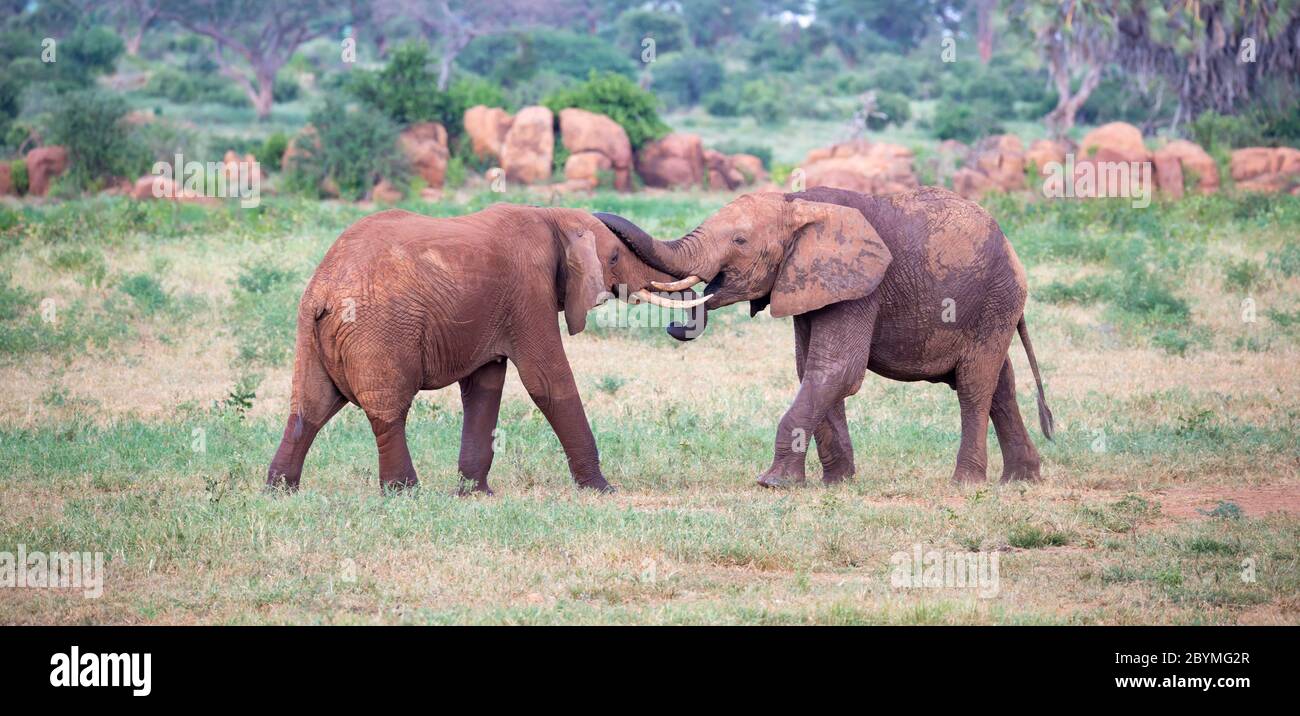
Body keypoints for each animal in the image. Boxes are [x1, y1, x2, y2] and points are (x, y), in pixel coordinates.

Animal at [266, 204, 707, 495]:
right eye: (614, 257)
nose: (678, 327)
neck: (553, 217)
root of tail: (323, 289)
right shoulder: (528, 291)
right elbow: (547, 381)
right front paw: (602, 489)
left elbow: (484, 388)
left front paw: (476, 494)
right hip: (378, 331)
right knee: (387, 410)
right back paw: (405, 493)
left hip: (311, 334)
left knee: (310, 407)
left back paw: (280, 490)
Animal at [596, 186, 1054, 487]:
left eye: (740, 241)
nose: (678, 326)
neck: (798, 202)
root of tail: (1011, 248)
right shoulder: (809, 282)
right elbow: (811, 370)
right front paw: (838, 482)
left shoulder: (860, 285)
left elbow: (836, 370)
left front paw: (772, 484)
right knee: (1001, 383)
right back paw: (1022, 479)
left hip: (996, 297)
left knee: (975, 384)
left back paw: (967, 483)